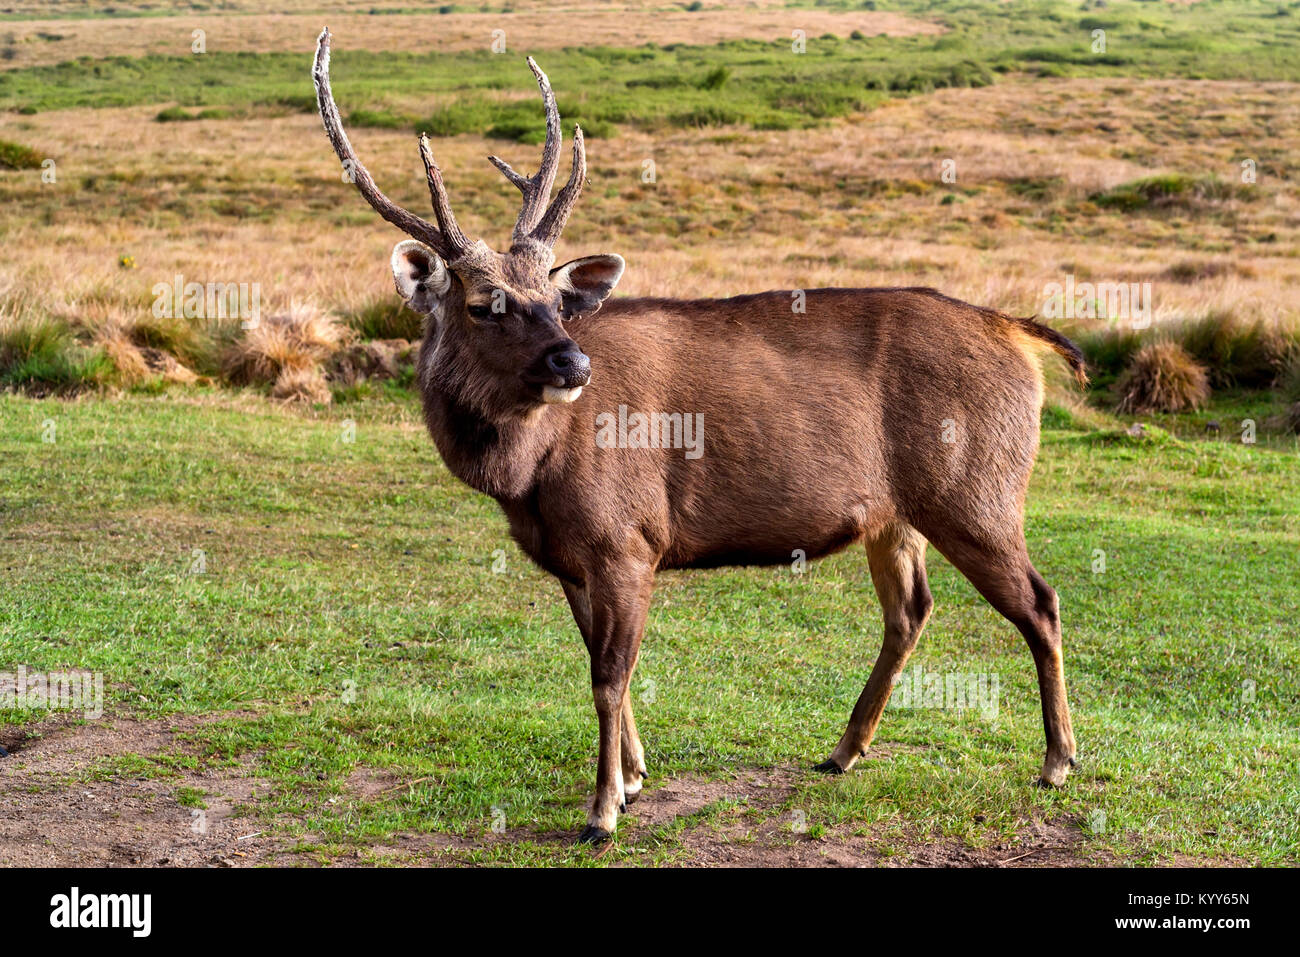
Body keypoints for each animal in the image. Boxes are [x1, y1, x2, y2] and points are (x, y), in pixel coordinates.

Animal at [312, 29, 1083, 844]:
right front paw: (633, 776)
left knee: (1040, 600)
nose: (572, 361)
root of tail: (1022, 335)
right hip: (896, 513)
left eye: (554, 295)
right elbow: (599, 663)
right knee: (910, 611)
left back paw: (1057, 760)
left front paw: (603, 810)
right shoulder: (571, 558)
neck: (528, 477)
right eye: (483, 303)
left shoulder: (627, 536)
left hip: (976, 489)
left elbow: (609, 673)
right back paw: (843, 750)